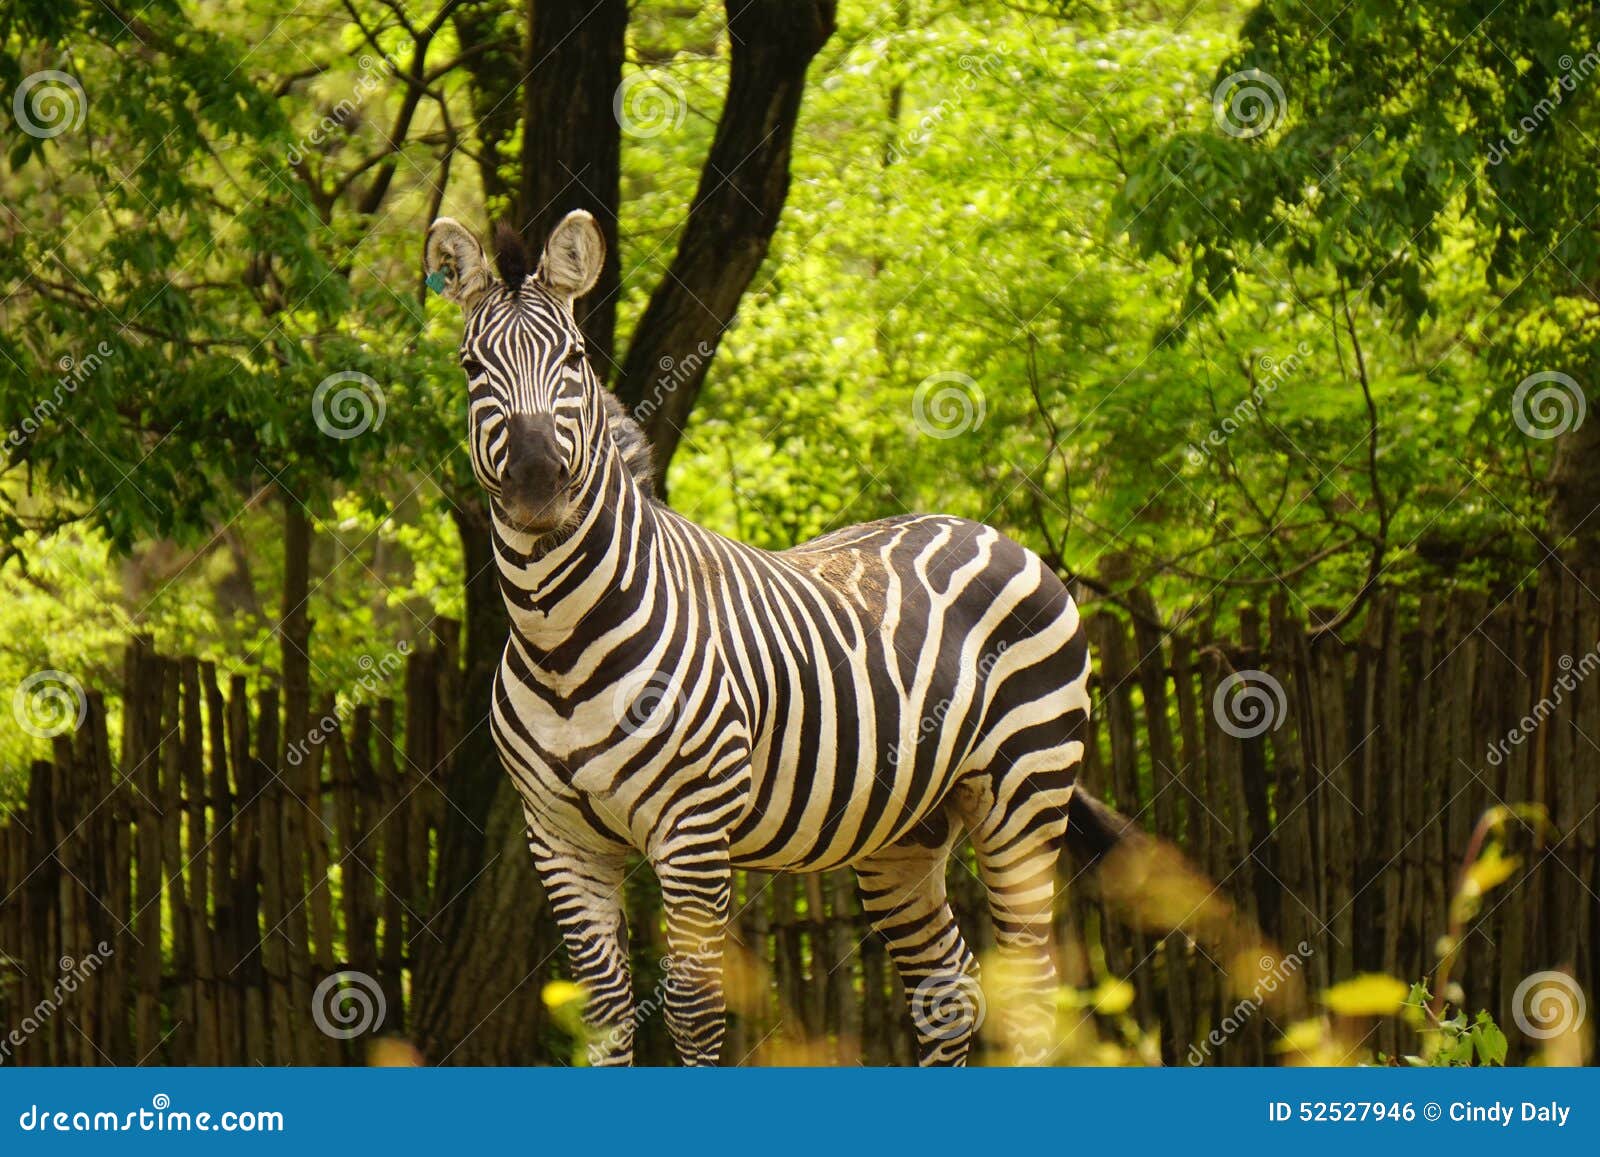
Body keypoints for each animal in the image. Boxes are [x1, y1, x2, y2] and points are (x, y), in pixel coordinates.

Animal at [423, 210, 1132, 1067]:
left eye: (574, 360)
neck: (558, 640)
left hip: (1025, 789)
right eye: (469, 365)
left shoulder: (692, 829)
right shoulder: (560, 840)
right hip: (906, 827)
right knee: (949, 986)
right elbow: (604, 1015)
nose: (534, 485)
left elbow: (693, 1011)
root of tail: (992, 532)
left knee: (1027, 987)